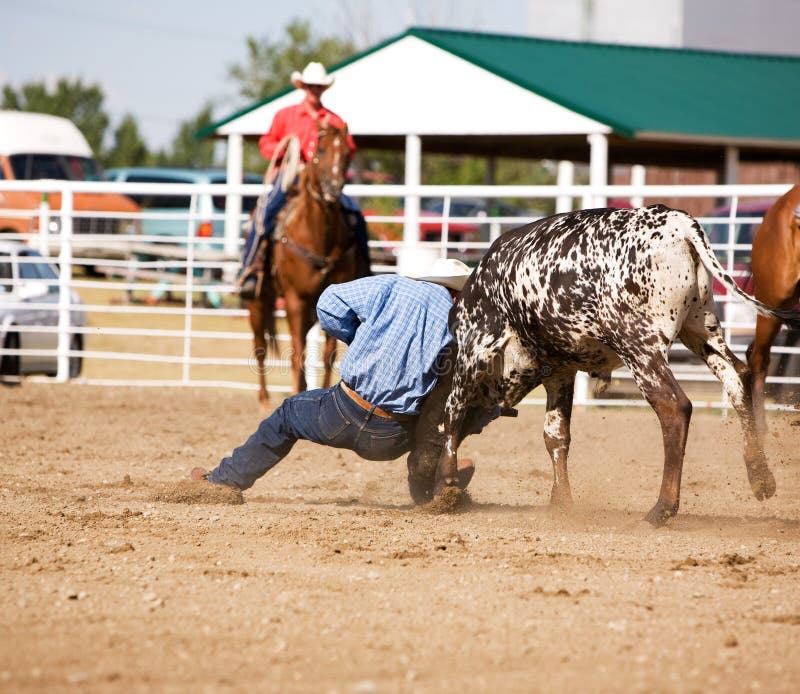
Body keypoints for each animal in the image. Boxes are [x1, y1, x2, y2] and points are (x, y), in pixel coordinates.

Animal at [406, 205, 800, 526]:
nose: (417, 478)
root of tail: (678, 223)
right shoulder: (560, 373)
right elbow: (555, 436)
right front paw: (561, 502)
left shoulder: (474, 350)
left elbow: (451, 416)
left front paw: (445, 487)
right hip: (701, 327)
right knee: (738, 377)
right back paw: (760, 476)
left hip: (640, 347)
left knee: (675, 407)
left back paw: (662, 508)